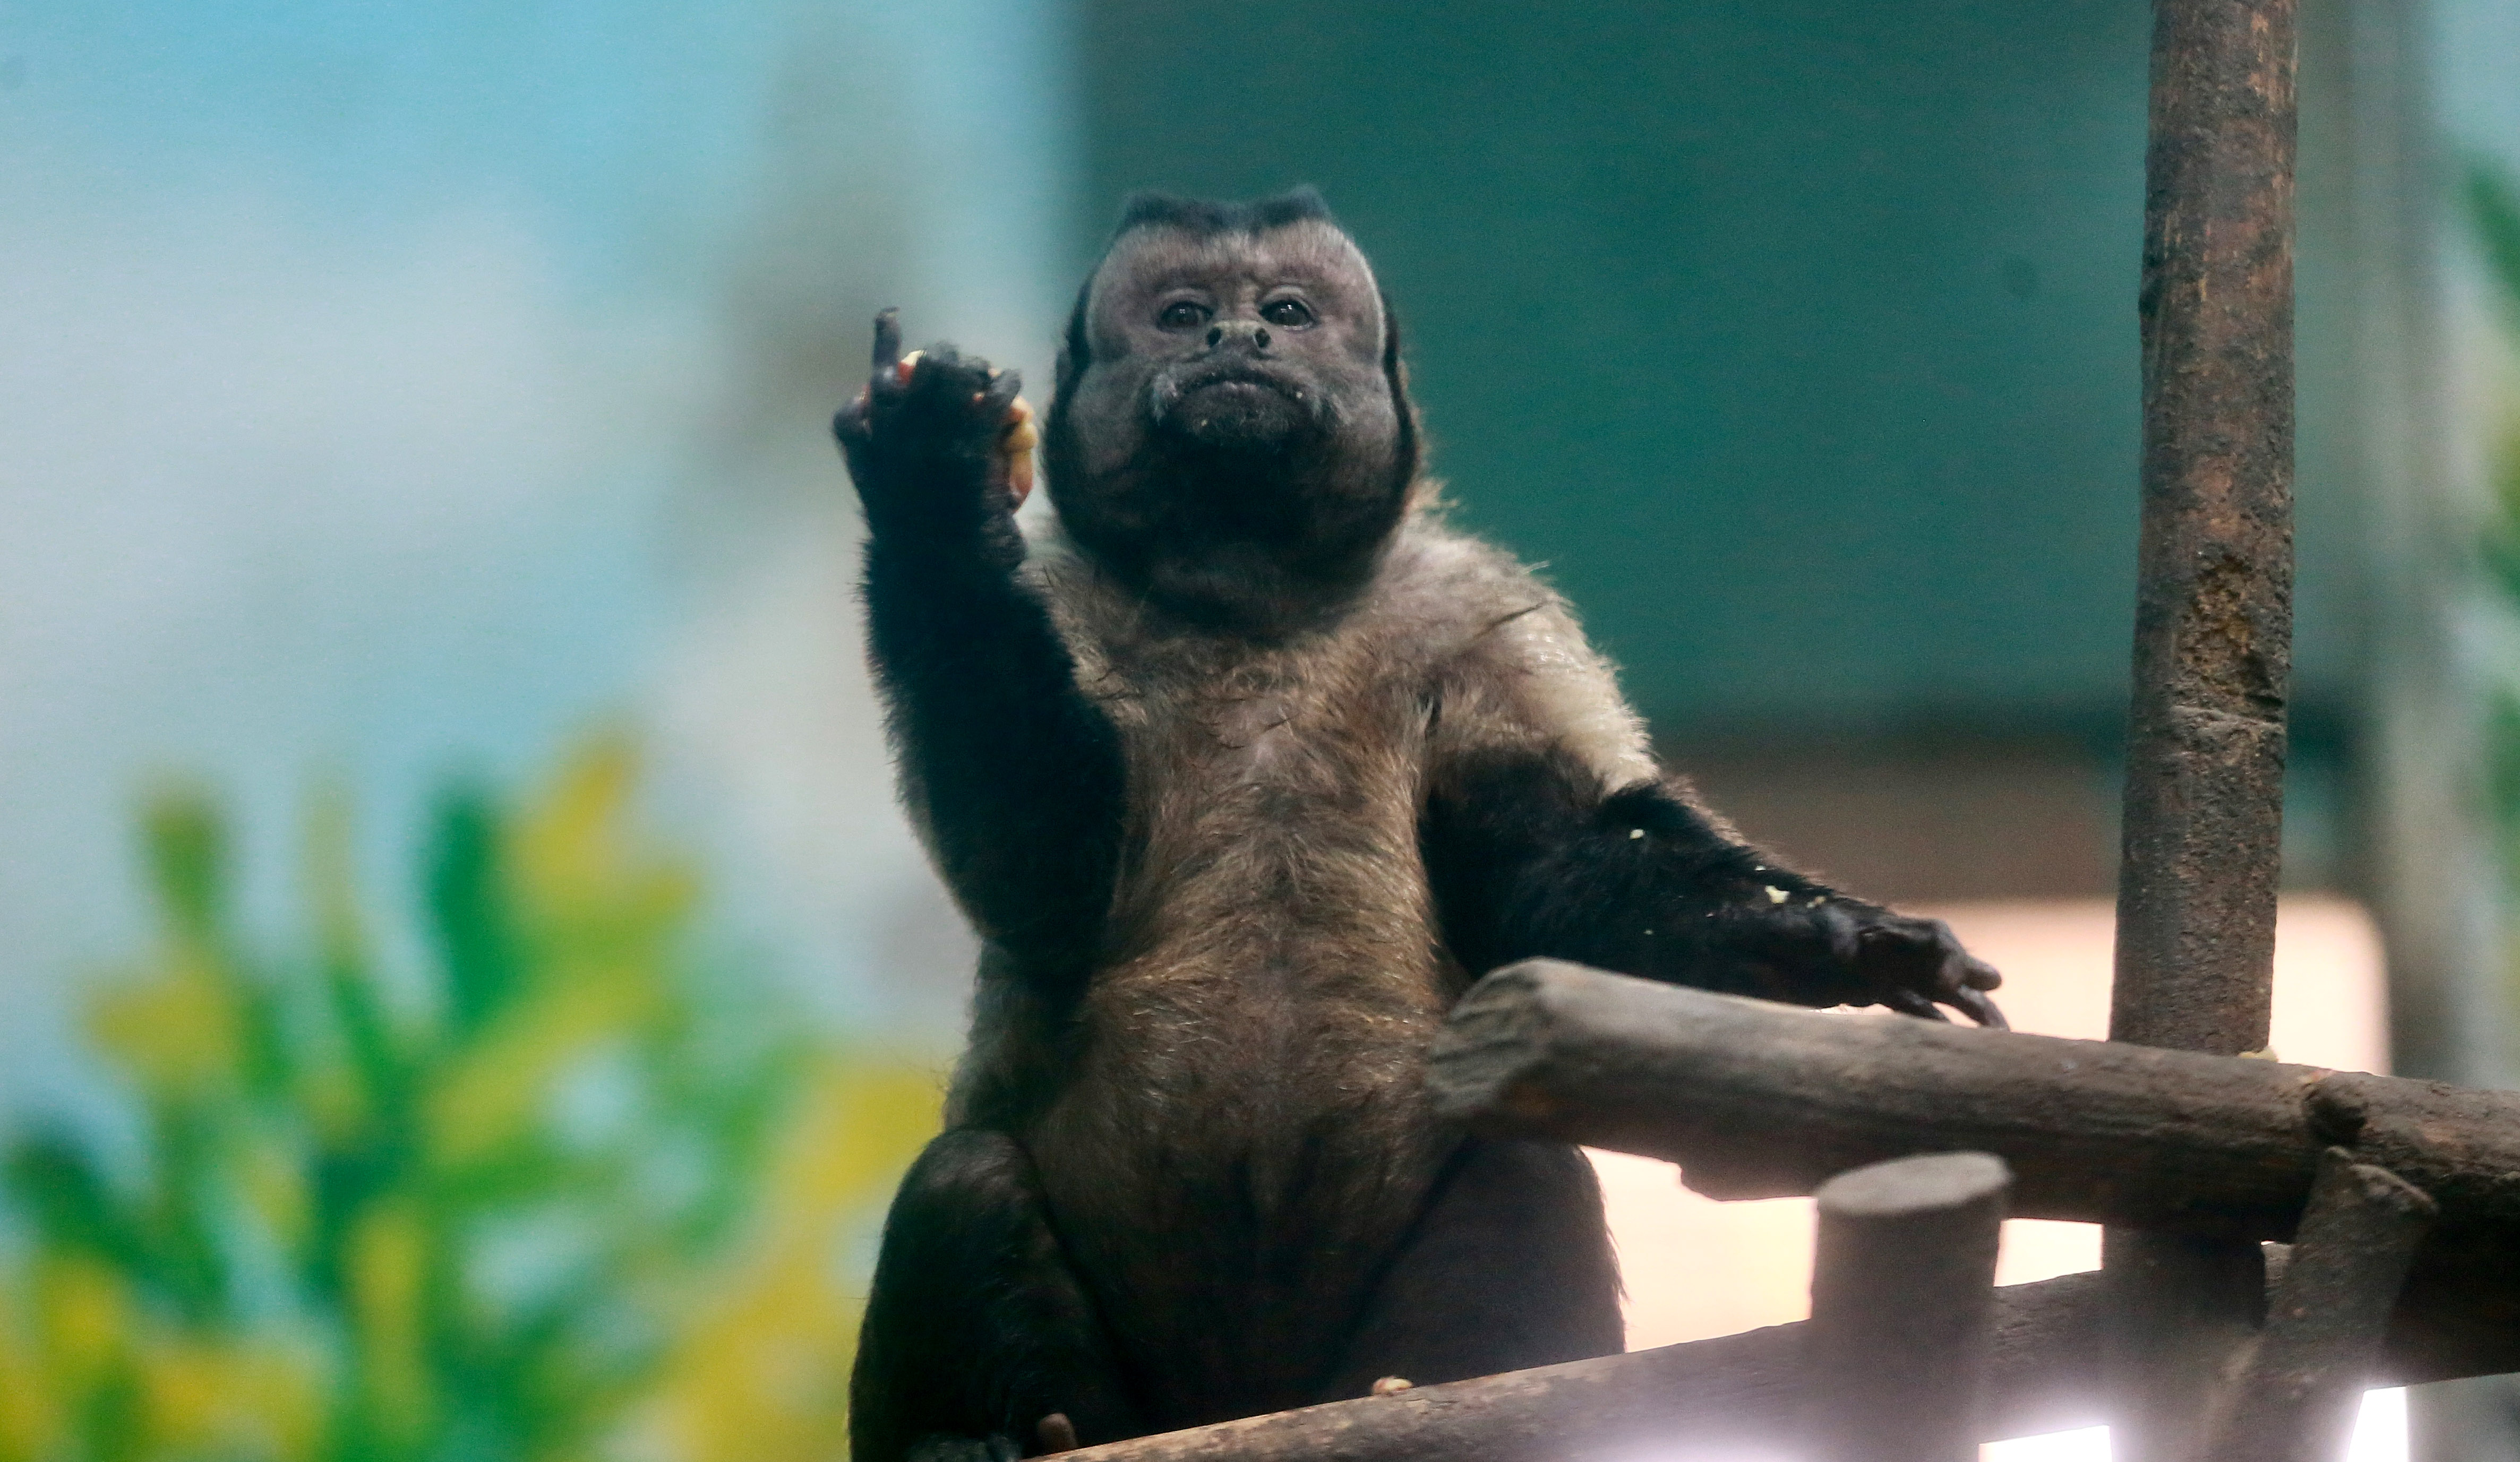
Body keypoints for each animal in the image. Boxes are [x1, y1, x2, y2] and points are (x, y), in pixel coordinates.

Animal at [831, 188, 2003, 1462]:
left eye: (1287, 311)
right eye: (1183, 313)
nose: (1236, 339)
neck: (1252, 599)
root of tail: (1247, 1403)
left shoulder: (1477, 610)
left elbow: (1557, 862)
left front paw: (1829, 940)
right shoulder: (1062, 600)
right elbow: (1039, 878)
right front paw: (932, 488)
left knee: (1524, 1165)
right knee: (967, 1179)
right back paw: (978, 1436)